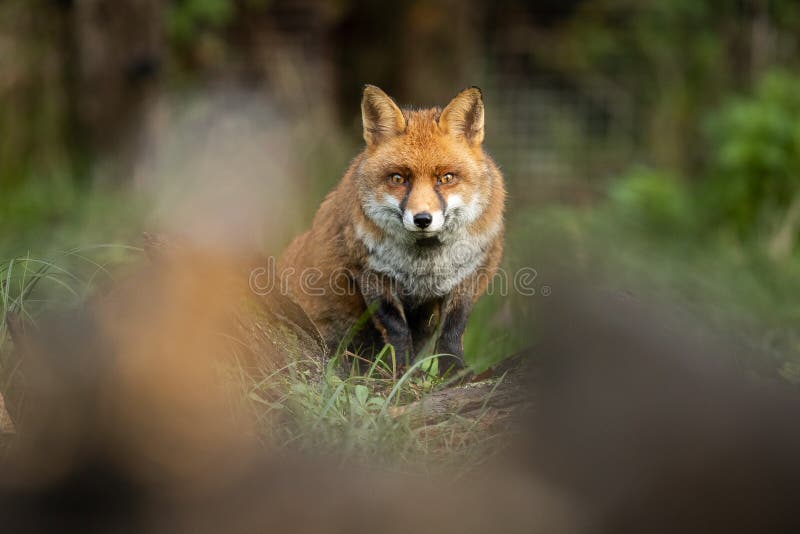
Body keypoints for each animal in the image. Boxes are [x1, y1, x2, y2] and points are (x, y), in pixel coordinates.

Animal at [278, 85, 505, 373]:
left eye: (446, 178)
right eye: (398, 178)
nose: (422, 219)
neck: (424, 265)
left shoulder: (473, 273)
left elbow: (453, 330)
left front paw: (454, 371)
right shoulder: (369, 272)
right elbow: (396, 329)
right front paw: (400, 370)